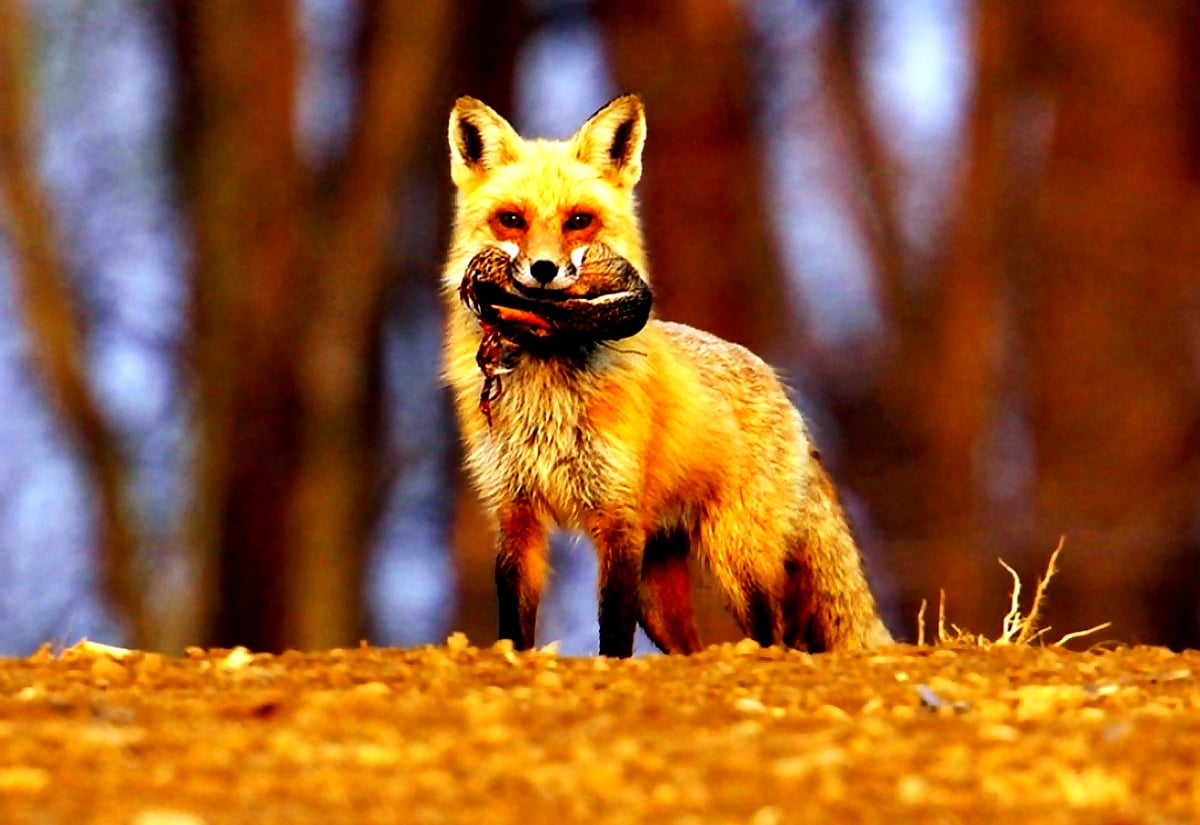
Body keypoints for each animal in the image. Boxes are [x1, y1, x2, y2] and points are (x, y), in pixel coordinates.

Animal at [443, 94, 893, 658]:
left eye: (578, 221)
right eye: (511, 220)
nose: (544, 270)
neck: (547, 385)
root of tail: (780, 387)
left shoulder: (619, 518)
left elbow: (613, 632)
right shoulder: (515, 512)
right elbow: (514, 625)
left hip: (735, 556)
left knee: (773, 633)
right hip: (659, 596)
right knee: (692, 647)